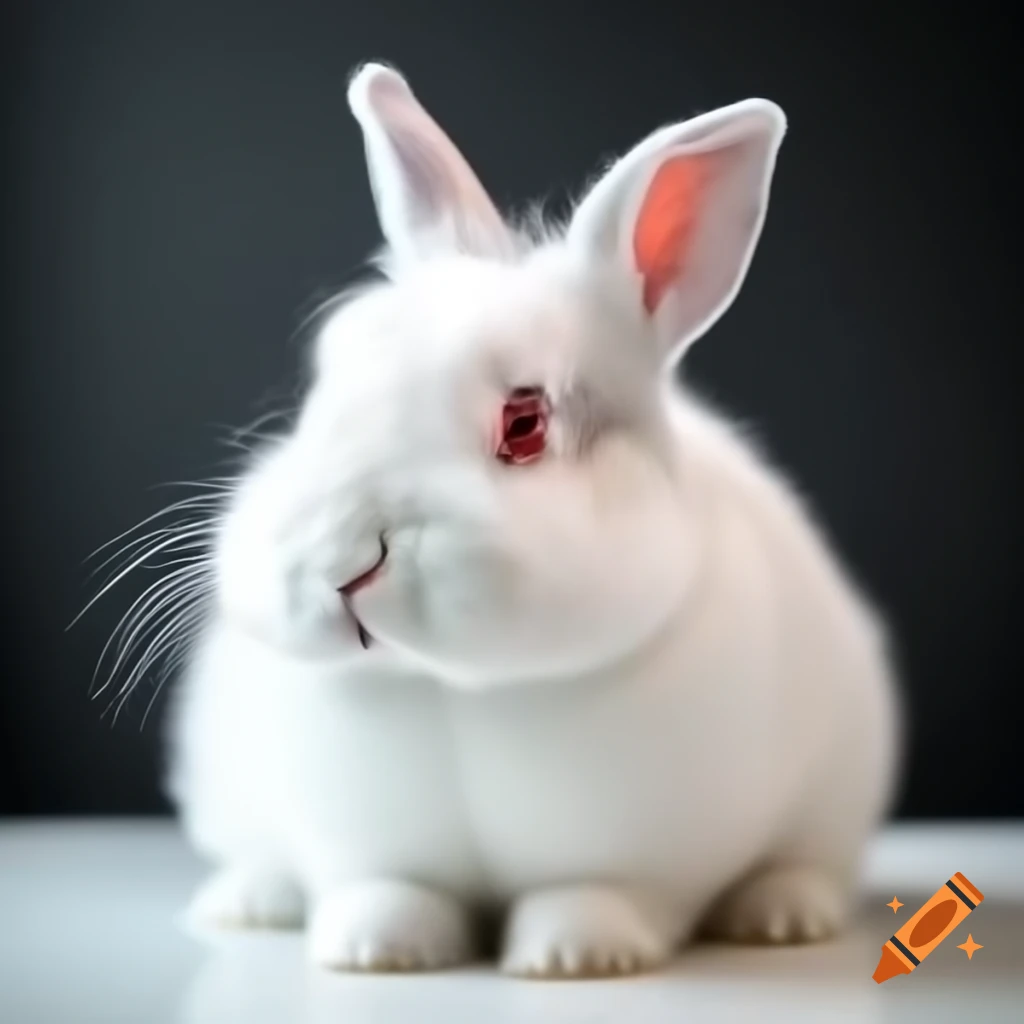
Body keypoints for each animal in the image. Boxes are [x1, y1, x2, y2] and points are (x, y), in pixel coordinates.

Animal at [165, 62, 900, 978]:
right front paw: (378, 951)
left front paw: (574, 956)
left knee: (807, 863)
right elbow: (389, 887)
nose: (343, 559)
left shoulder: (636, 853)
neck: (459, 688)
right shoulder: (367, 843)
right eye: (327, 374)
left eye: (525, 424)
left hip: (835, 801)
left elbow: (599, 894)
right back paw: (249, 902)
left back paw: (781, 917)